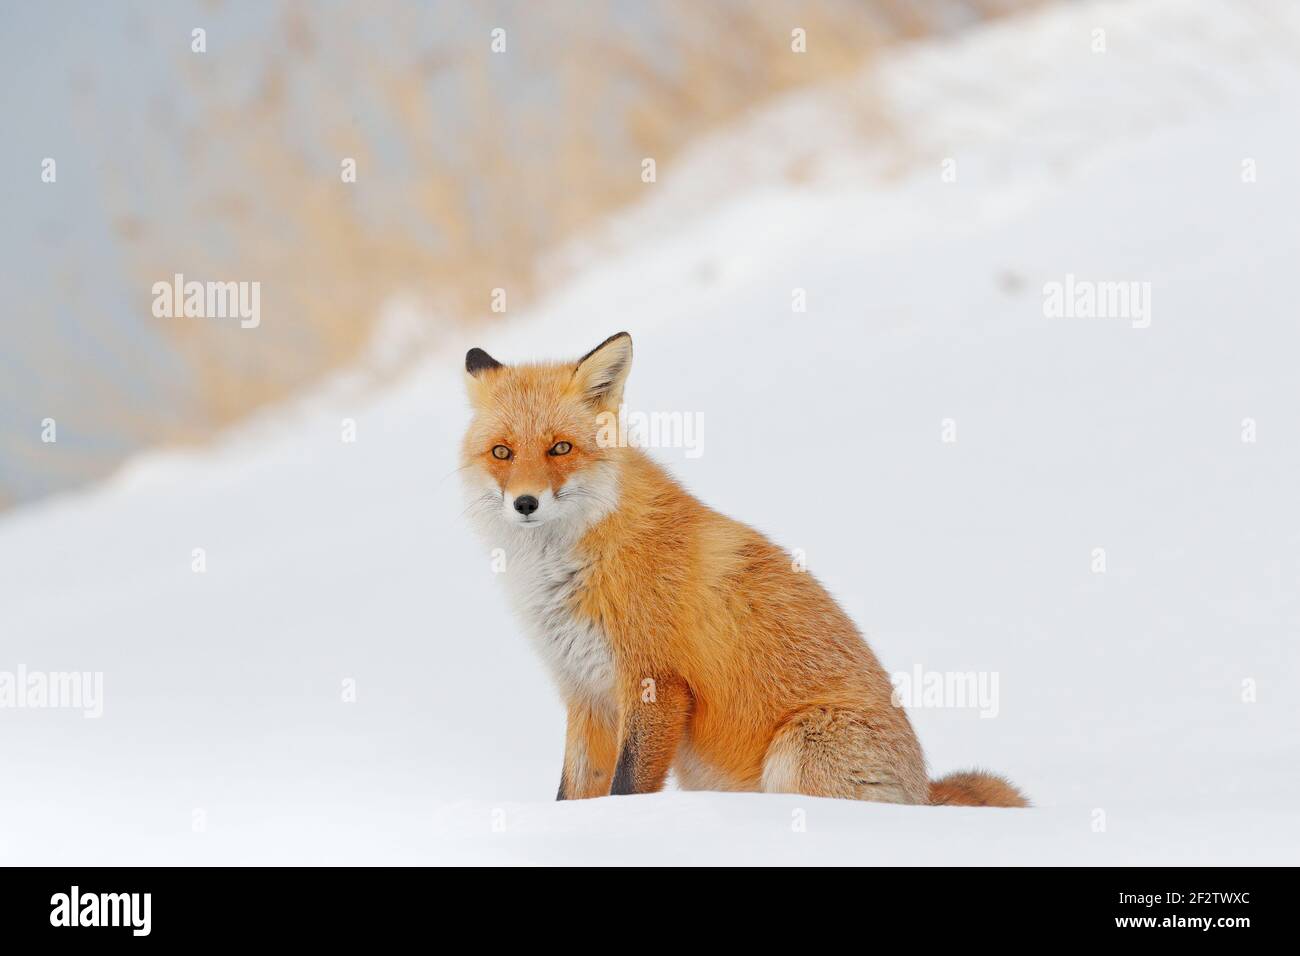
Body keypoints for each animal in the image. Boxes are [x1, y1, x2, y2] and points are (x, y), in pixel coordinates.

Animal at [461, 332, 1027, 807]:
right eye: (502, 452)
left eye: (560, 447)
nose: (526, 503)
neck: (570, 567)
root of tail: (924, 796)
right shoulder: (586, 693)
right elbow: (572, 794)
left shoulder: (654, 682)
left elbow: (627, 789)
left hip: (797, 750)